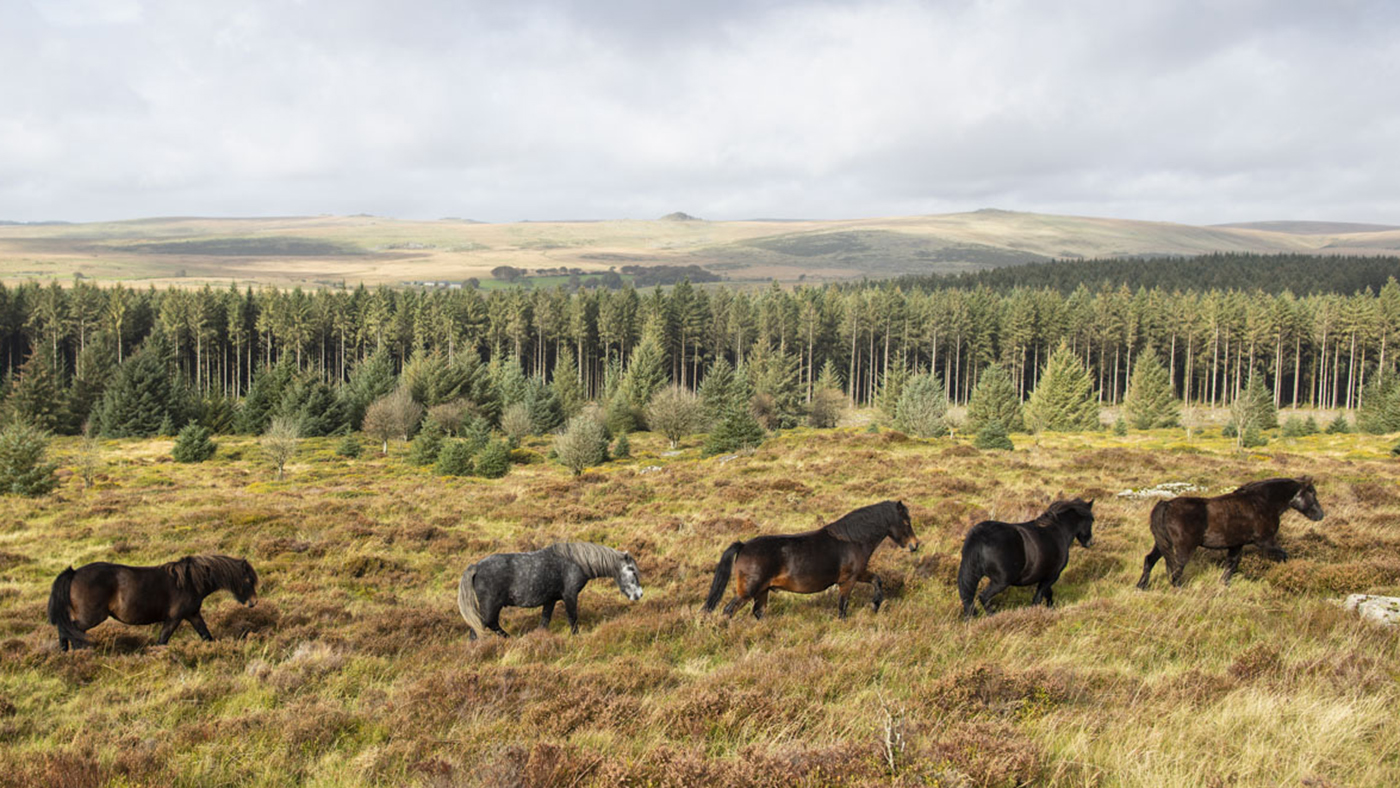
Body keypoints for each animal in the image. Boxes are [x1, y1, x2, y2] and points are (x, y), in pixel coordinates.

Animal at [47, 555, 259, 651]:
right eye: (248, 580)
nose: (254, 603)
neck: (190, 582)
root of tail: (73, 573)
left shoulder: (193, 615)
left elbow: (206, 635)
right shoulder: (174, 618)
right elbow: (162, 640)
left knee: (65, 630)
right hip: (90, 617)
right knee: (72, 631)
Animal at [457, 542, 642, 639]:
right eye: (632, 571)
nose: (639, 595)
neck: (575, 562)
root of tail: (476, 567)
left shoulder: (550, 600)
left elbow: (544, 621)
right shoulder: (569, 595)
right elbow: (572, 617)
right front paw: (576, 637)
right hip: (491, 605)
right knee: (484, 625)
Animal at [702, 500, 919, 620]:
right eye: (905, 521)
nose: (915, 545)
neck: (852, 540)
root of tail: (743, 546)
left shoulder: (858, 574)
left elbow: (877, 579)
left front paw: (876, 604)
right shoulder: (848, 580)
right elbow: (843, 606)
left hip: (762, 591)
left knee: (758, 612)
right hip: (748, 591)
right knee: (728, 611)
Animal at [957, 498, 1094, 618]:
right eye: (1092, 520)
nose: (1089, 543)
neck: (1058, 530)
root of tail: (980, 536)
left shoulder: (1046, 576)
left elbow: (1047, 594)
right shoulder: (1052, 575)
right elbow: (1039, 597)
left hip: (974, 576)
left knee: (968, 601)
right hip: (1001, 581)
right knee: (984, 597)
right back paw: (994, 617)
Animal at [1137, 476, 1324, 589]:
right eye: (1312, 494)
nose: (1320, 515)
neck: (1262, 502)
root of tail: (1167, 504)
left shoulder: (1236, 545)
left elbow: (1231, 566)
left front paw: (1224, 586)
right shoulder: (1266, 542)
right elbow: (1284, 556)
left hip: (1162, 544)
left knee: (1149, 560)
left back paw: (1142, 586)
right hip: (1184, 547)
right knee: (1176, 571)